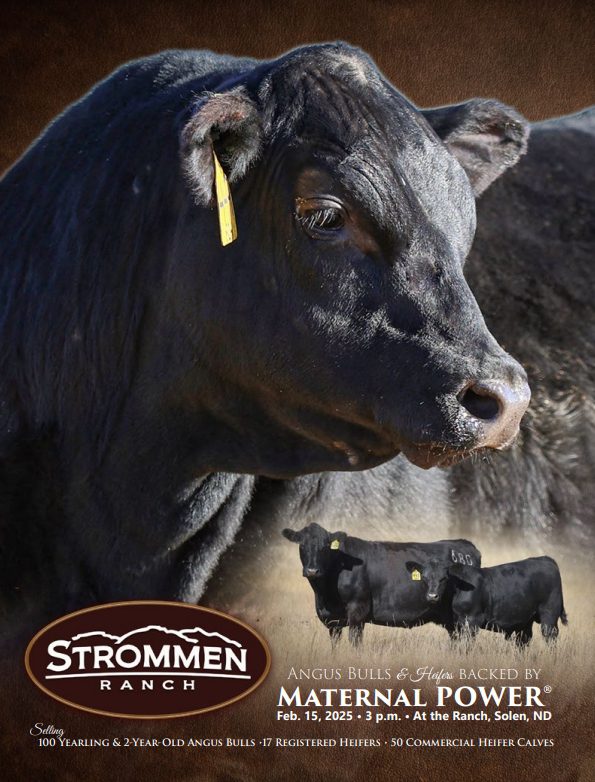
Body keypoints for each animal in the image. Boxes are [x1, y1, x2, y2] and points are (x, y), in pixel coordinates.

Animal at [282, 523, 481, 645]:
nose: (312, 570)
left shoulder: (357, 611)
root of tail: (464, 544)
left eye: (325, 547)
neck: (325, 595)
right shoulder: (332, 620)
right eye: (301, 545)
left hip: (464, 618)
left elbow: (355, 642)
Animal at [408, 556, 568, 646]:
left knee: (550, 637)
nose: (432, 596)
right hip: (524, 620)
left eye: (444, 578)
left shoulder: (472, 620)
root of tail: (545, 559)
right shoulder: (456, 624)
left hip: (549, 615)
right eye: (424, 578)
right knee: (523, 641)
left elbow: (466, 646)